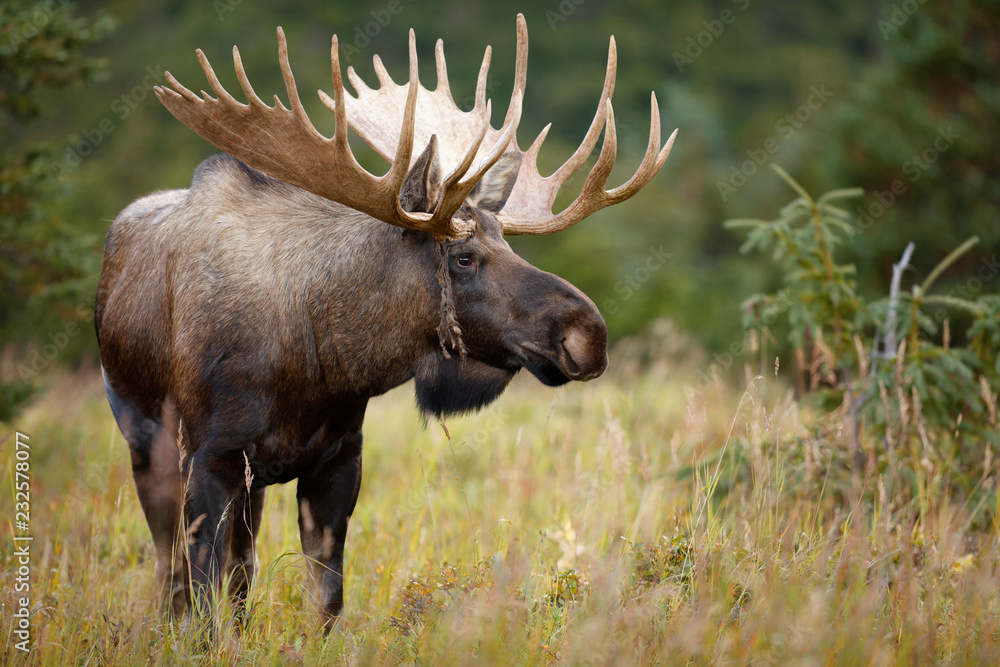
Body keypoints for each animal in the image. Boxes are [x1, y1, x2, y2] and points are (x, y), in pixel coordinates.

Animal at [94, 14, 676, 630]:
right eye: (462, 257)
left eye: (506, 243)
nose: (589, 334)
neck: (320, 364)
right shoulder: (208, 457)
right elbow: (203, 603)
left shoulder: (339, 457)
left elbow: (324, 600)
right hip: (145, 442)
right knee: (171, 571)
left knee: (240, 572)